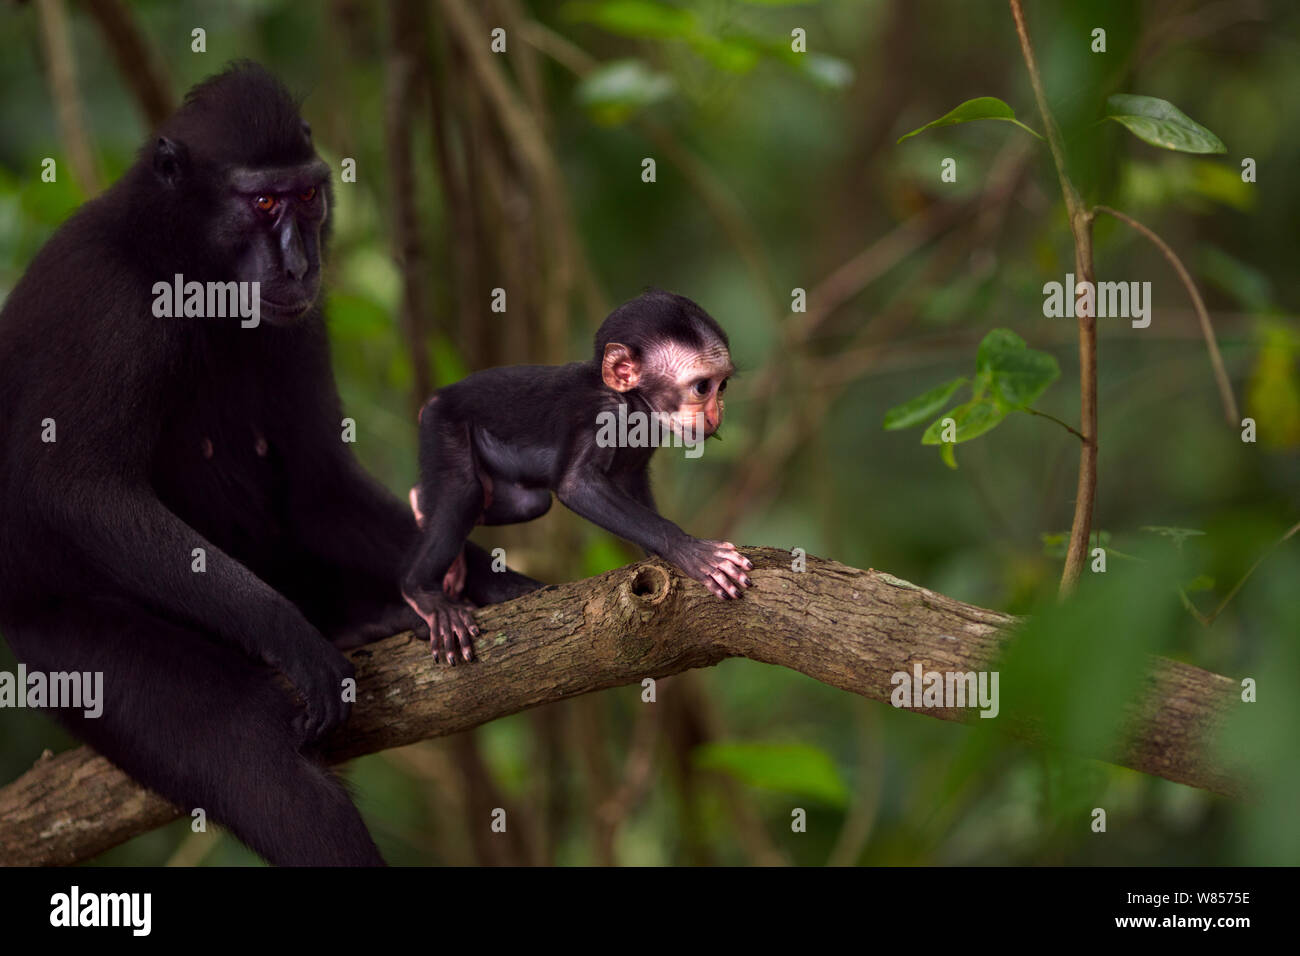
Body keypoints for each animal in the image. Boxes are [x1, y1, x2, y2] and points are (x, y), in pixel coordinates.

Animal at [0, 62, 539, 866]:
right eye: (260, 201)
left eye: (308, 195)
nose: (299, 261)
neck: (180, 266)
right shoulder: (111, 306)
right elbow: (78, 488)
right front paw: (289, 634)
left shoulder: (301, 322)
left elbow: (318, 484)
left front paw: (489, 581)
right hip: (59, 635)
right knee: (252, 754)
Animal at [403, 289, 753, 665]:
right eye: (702, 387)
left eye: (722, 386)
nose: (715, 415)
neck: (630, 403)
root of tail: (437, 397)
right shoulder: (597, 413)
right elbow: (576, 486)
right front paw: (690, 551)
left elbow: (629, 477)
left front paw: (660, 555)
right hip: (443, 421)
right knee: (464, 489)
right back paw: (422, 591)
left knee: (526, 502)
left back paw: (422, 508)